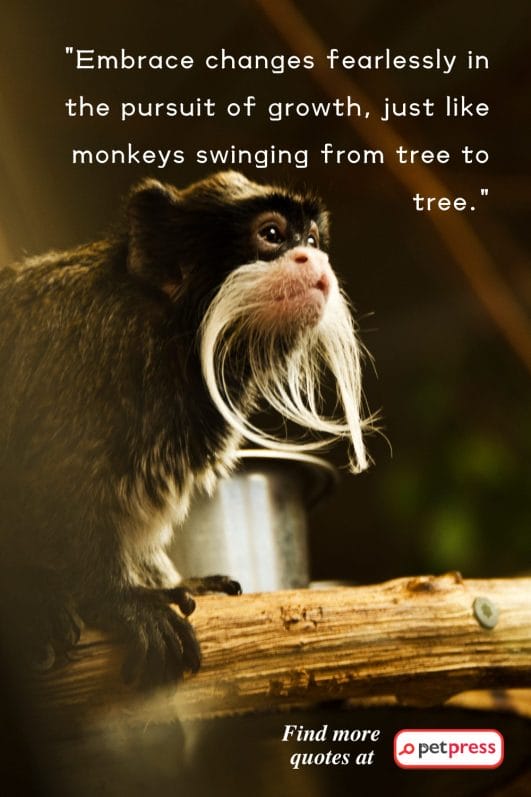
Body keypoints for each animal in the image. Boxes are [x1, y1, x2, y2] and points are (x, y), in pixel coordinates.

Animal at [0, 171, 371, 689]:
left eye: (312, 239)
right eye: (272, 234)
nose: (312, 259)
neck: (169, 333)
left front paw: (170, 581)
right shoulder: (88, 361)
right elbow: (56, 488)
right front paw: (122, 599)